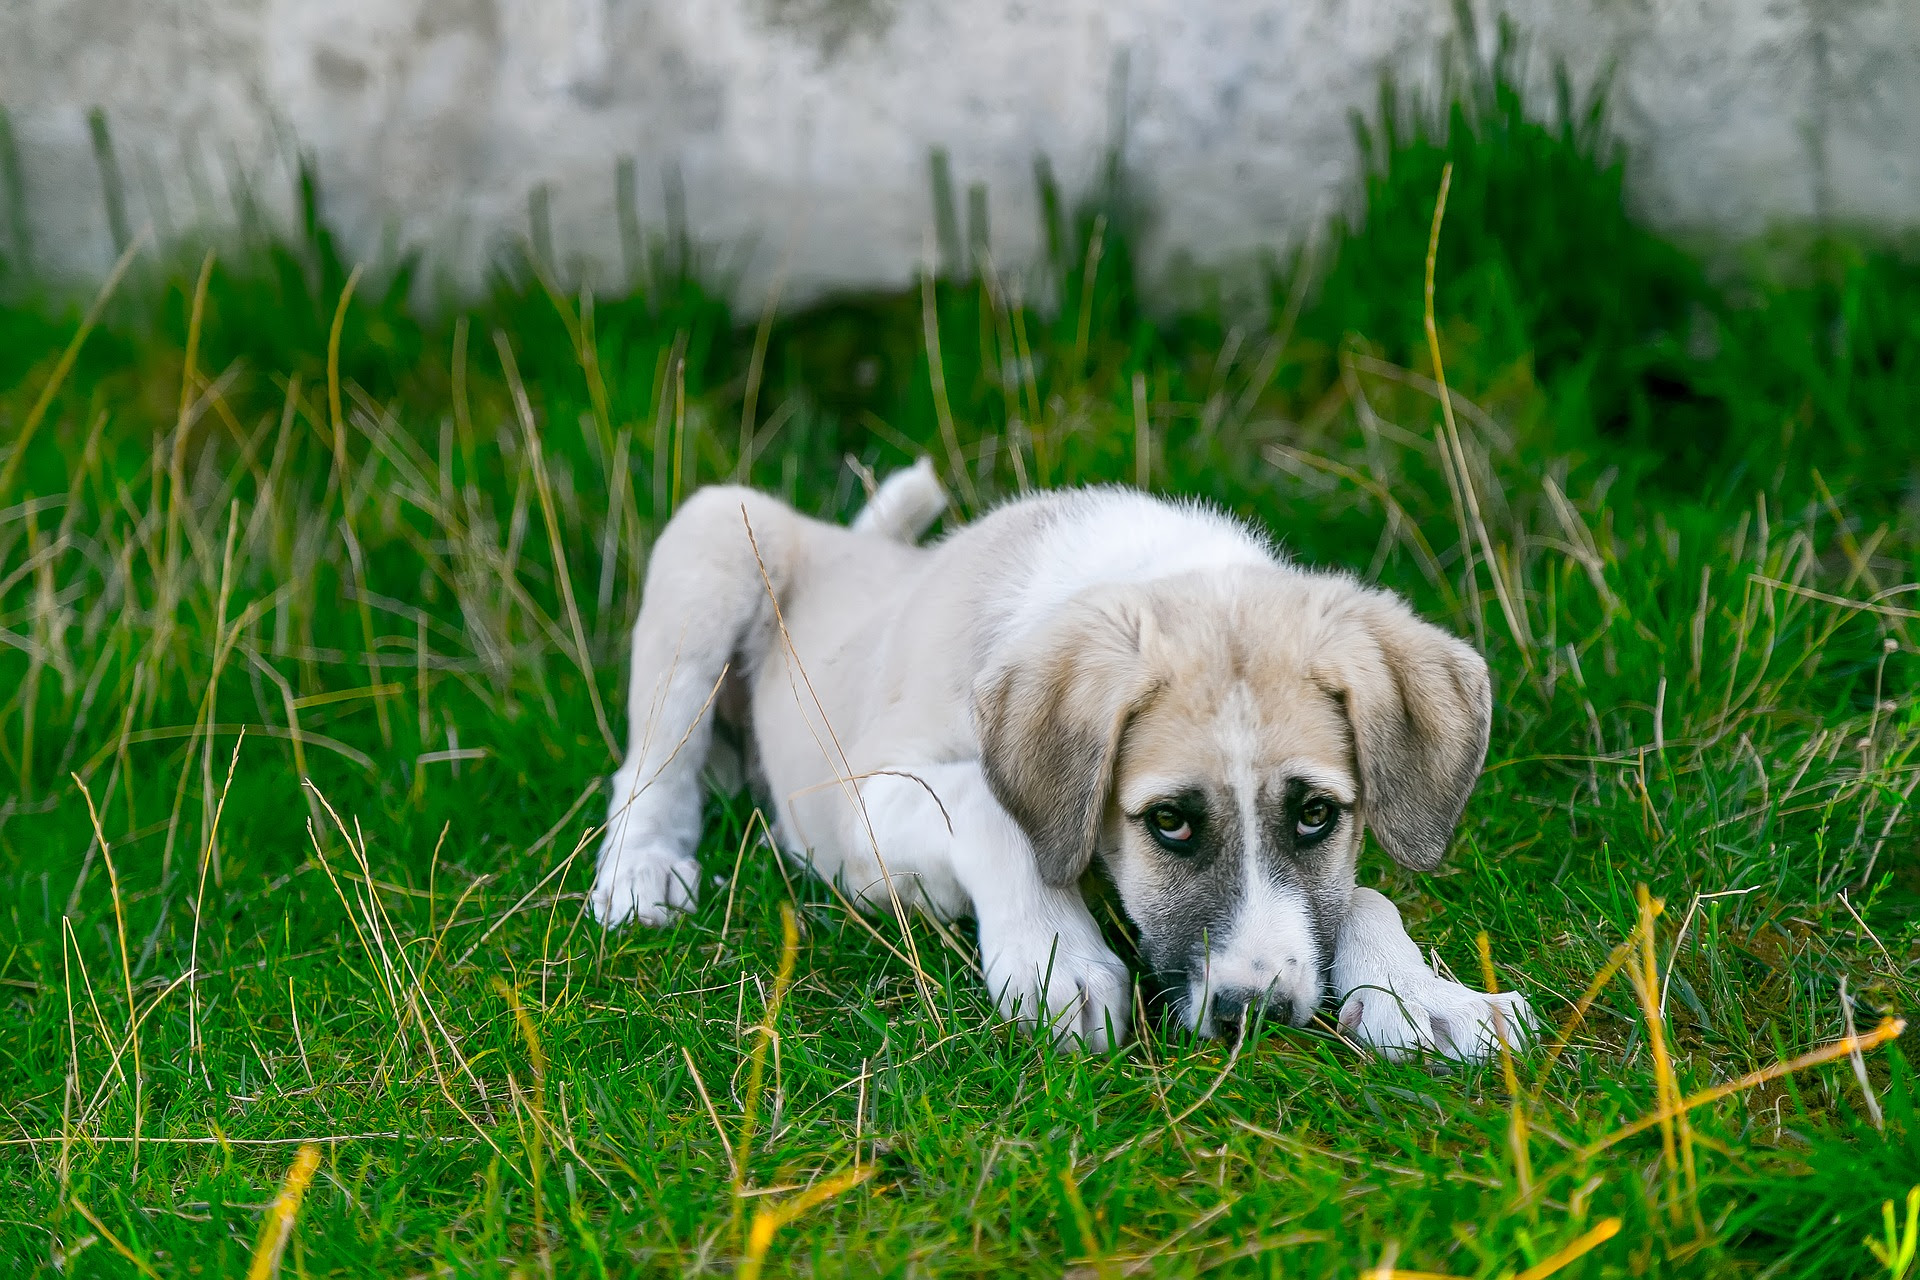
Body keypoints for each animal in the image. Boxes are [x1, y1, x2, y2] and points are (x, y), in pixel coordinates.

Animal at [583, 462, 1528, 1059]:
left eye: (1317, 814)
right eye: (1169, 822)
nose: (1253, 1014)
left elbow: (1361, 894)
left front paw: (1424, 995)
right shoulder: (866, 804)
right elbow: (992, 810)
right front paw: (1055, 959)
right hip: (714, 539)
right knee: (650, 763)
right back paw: (642, 869)